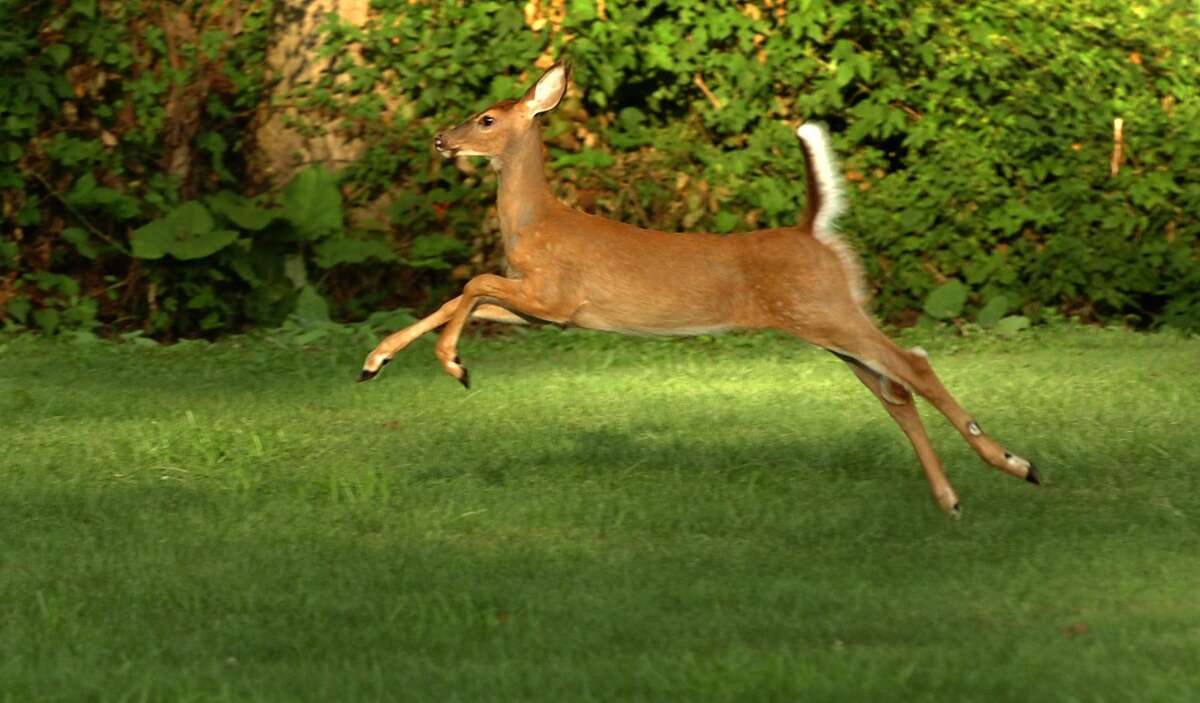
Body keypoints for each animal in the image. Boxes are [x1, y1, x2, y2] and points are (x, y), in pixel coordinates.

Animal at [358, 62, 1041, 517]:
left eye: (487, 118)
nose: (441, 139)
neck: (535, 222)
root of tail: (813, 230)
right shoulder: (548, 312)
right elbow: (461, 297)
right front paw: (376, 361)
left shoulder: (557, 294)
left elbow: (471, 282)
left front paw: (453, 364)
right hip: (831, 323)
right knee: (896, 392)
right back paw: (953, 498)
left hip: (827, 313)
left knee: (915, 366)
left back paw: (1019, 464)